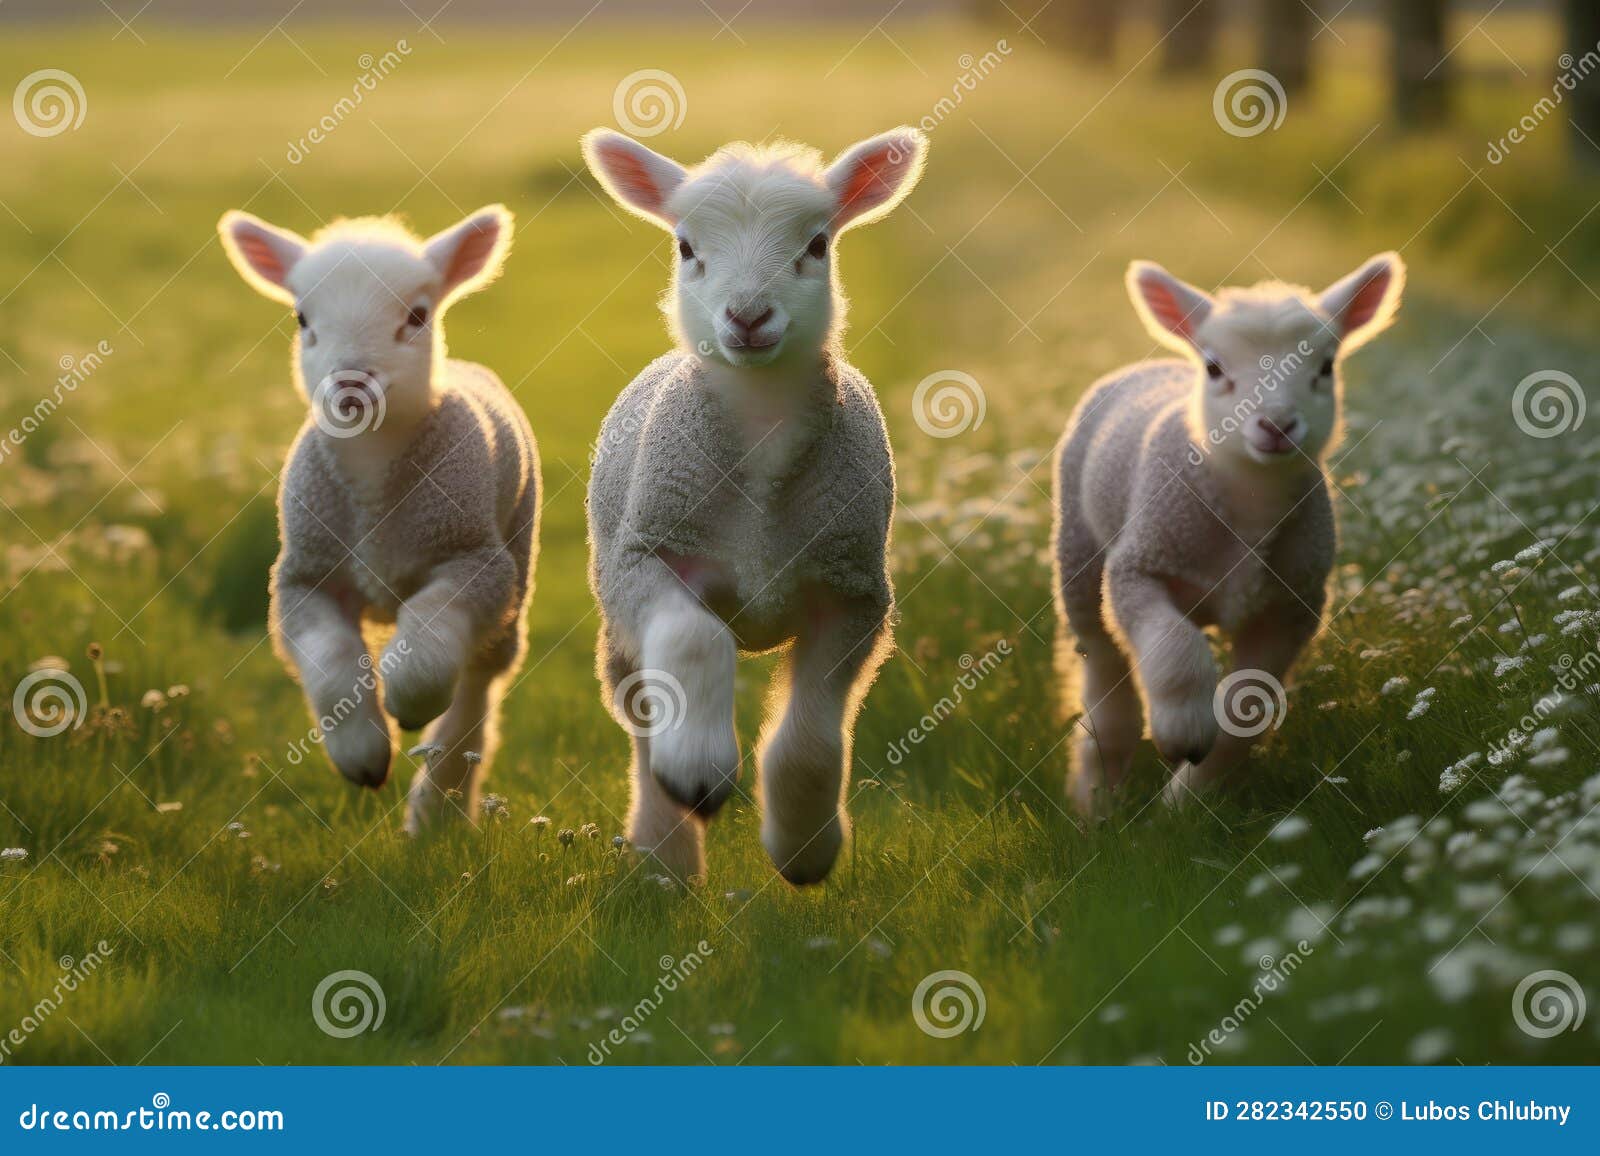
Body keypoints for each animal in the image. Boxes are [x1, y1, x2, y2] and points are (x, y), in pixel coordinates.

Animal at [217, 205, 538, 834]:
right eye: (301, 318)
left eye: (416, 315)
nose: (350, 385)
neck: (371, 471)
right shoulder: (302, 575)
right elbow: (331, 660)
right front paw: (361, 754)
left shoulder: (472, 556)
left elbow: (429, 644)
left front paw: (408, 706)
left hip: (515, 555)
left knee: (480, 680)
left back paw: (438, 810)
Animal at [580, 126, 926, 884]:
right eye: (686, 247)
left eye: (817, 244)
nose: (747, 316)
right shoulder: (645, 556)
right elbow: (693, 639)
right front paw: (698, 770)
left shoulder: (853, 588)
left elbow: (812, 737)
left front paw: (804, 849)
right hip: (615, 613)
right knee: (638, 714)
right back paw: (665, 858)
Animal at [1053, 253, 1405, 815]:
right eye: (1215, 368)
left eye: (1326, 367)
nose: (1277, 425)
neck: (1248, 497)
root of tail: (1157, 364)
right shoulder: (1138, 566)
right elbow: (1176, 649)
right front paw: (1182, 732)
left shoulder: (1292, 604)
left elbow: (1248, 708)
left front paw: (1185, 805)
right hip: (1078, 554)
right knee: (1105, 675)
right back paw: (1095, 802)